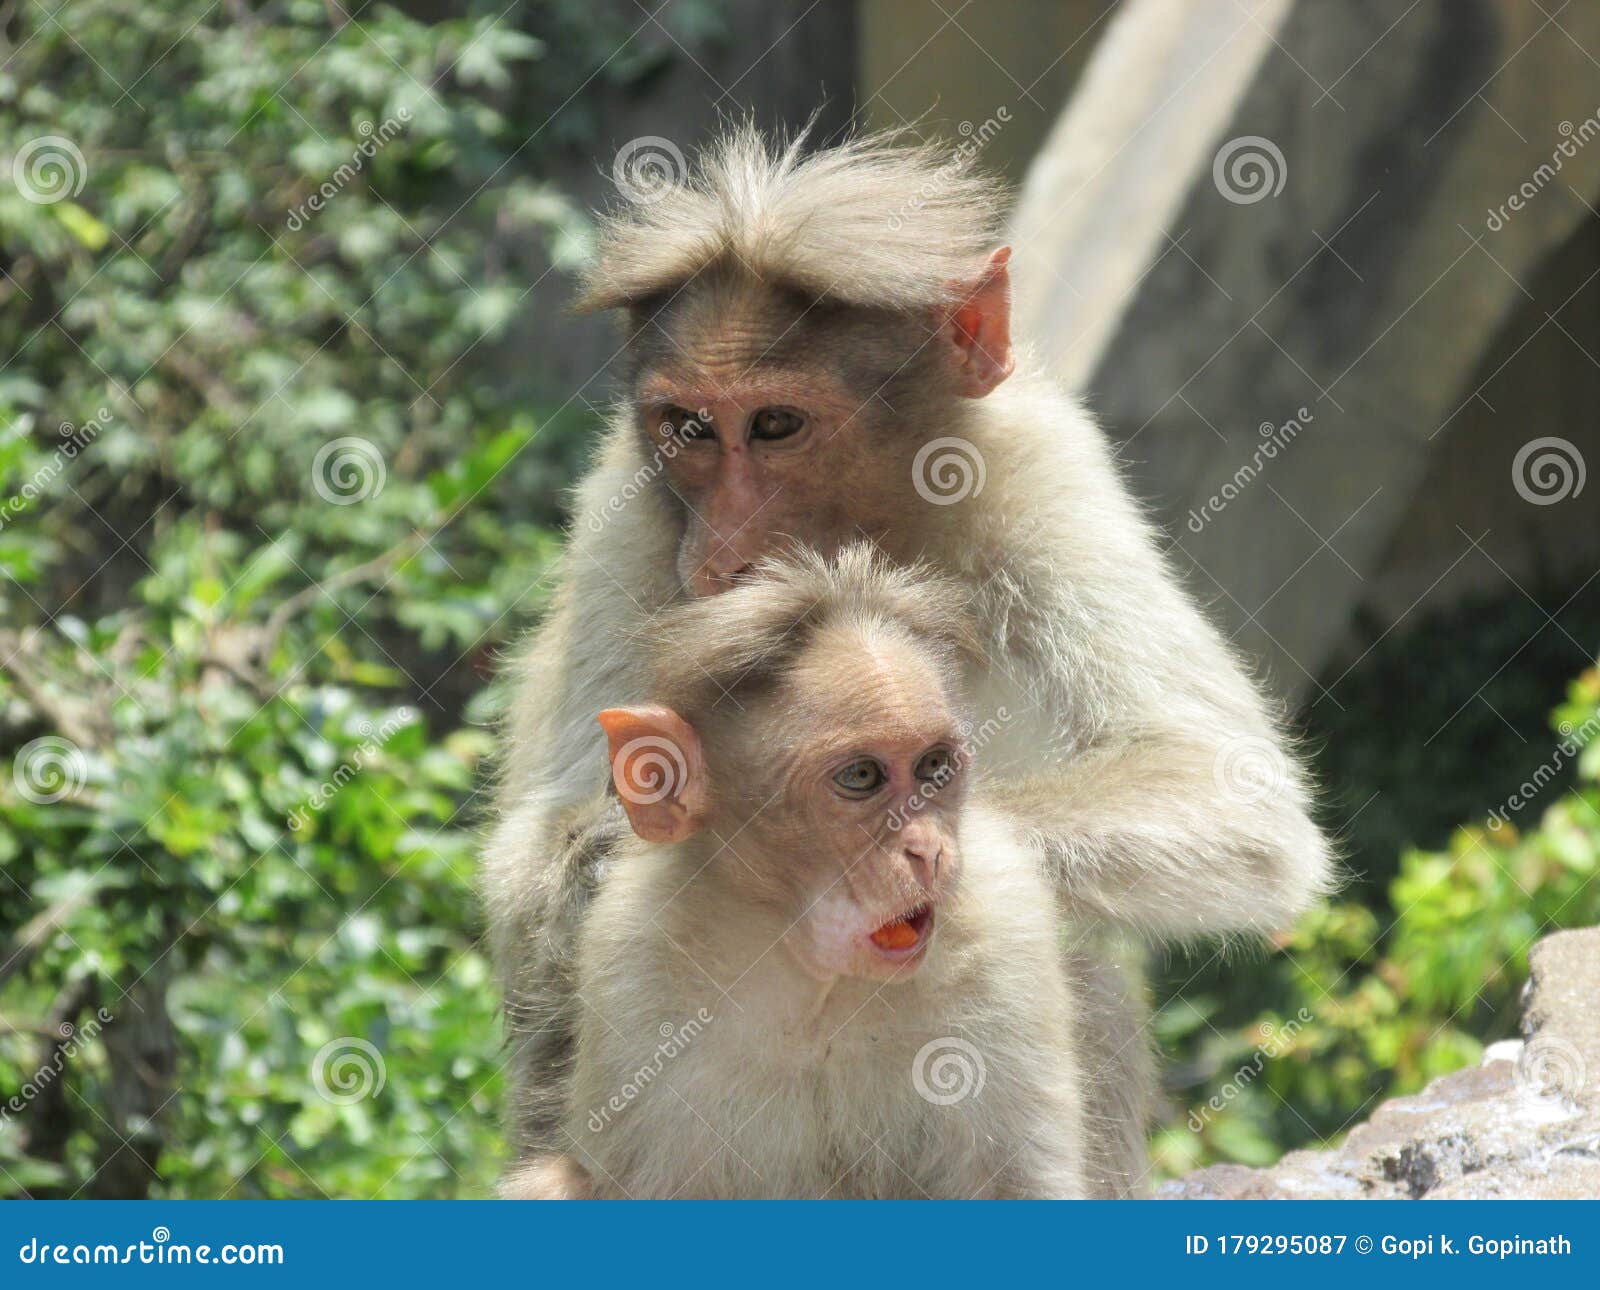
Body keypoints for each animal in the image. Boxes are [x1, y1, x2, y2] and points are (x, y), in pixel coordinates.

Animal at [503, 548, 1084, 1199]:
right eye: (861, 777)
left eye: (935, 767)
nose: (928, 851)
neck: (815, 983)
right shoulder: (632, 956)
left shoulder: (1007, 926)